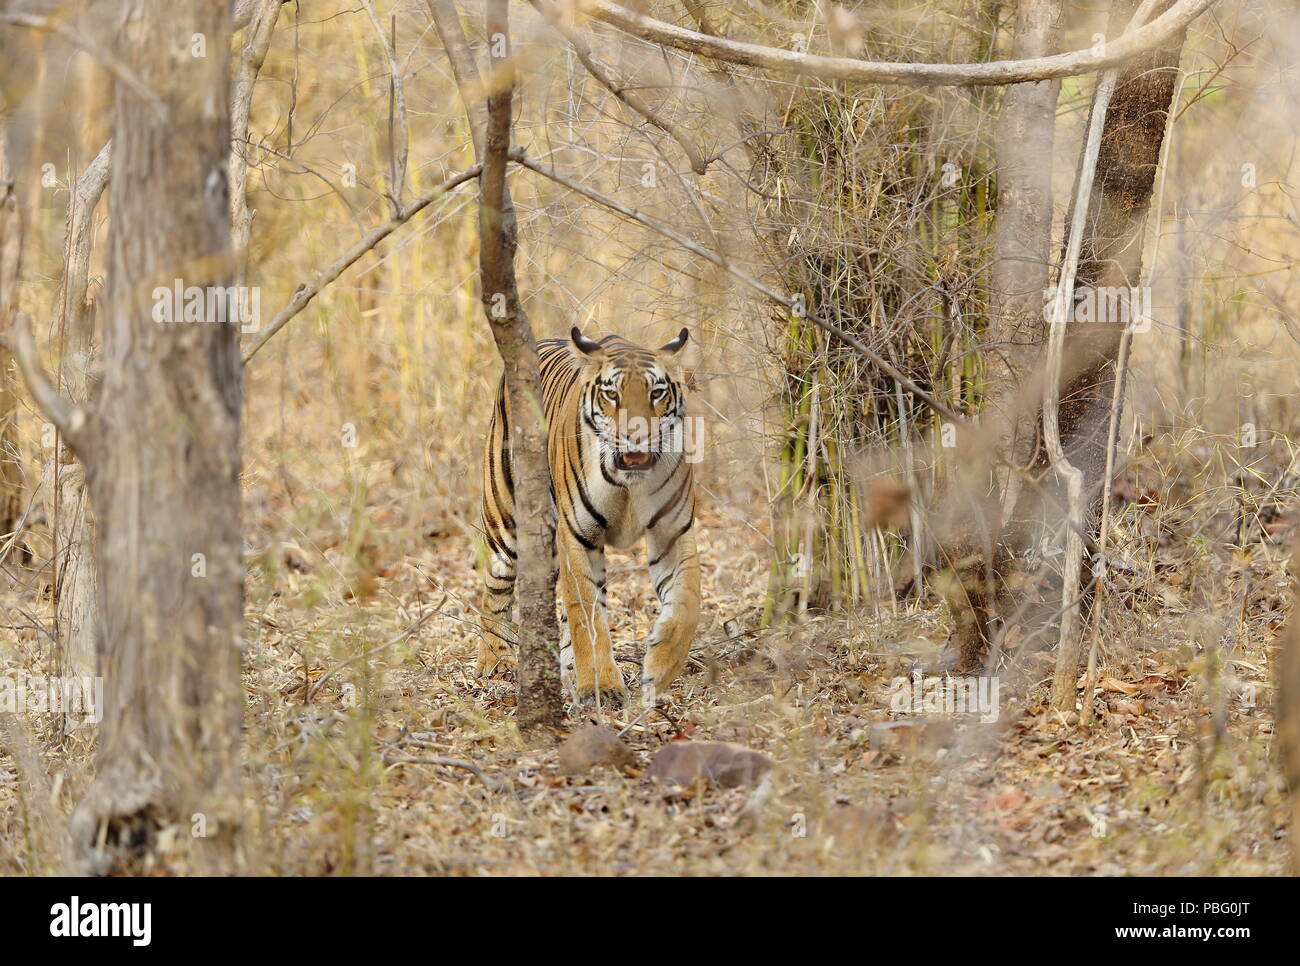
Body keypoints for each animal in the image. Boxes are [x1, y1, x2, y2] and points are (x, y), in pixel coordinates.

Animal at [478, 326, 700, 706]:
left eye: (656, 392)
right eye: (612, 394)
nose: (636, 436)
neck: (629, 484)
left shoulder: (674, 531)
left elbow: (687, 605)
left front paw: (659, 668)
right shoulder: (577, 536)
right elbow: (587, 616)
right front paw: (601, 685)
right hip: (507, 524)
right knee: (494, 590)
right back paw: (495, 659)